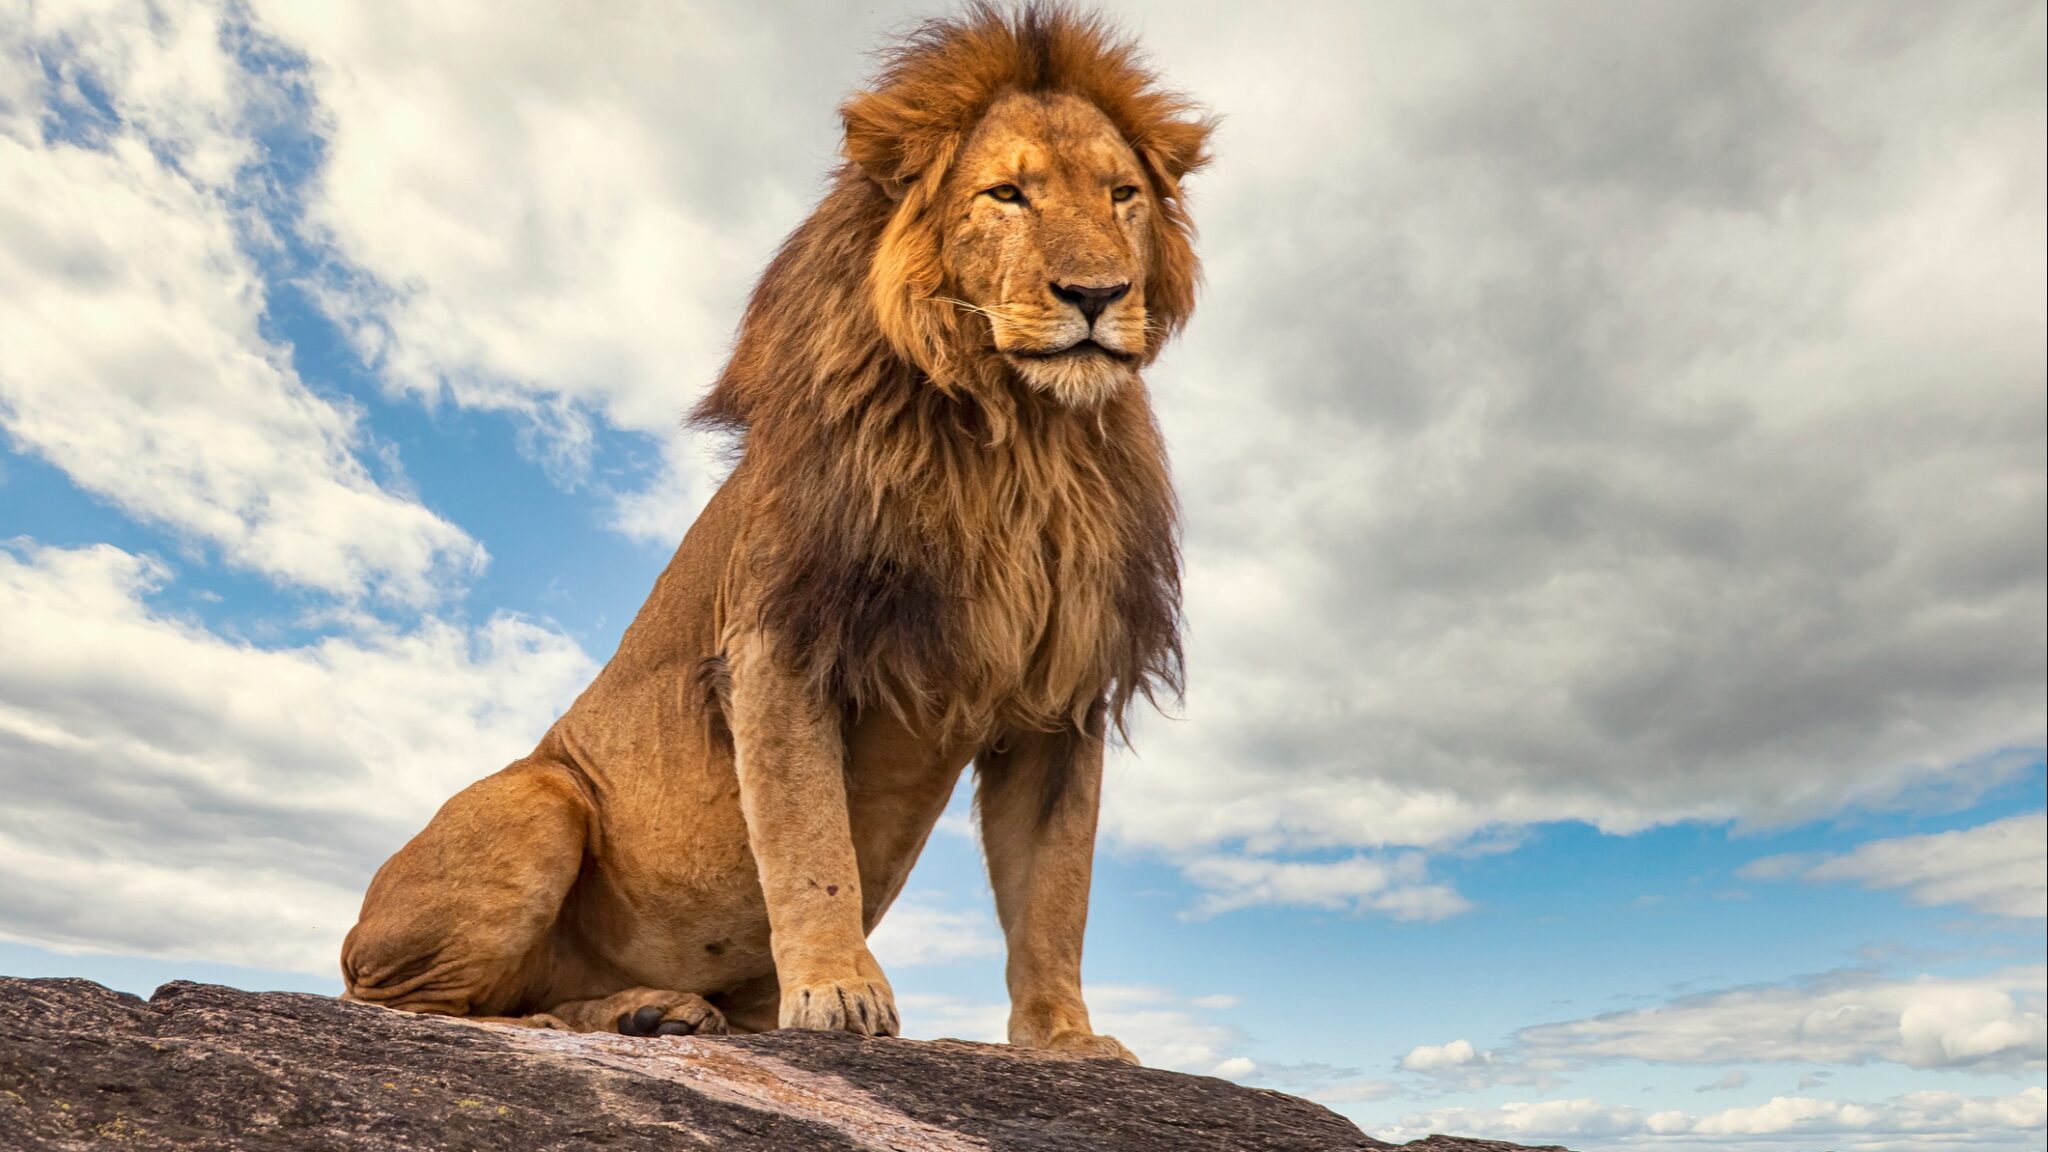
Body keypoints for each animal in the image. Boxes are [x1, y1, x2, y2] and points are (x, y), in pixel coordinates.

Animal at [340, 2, 1212, 1063]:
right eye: (1007, 194)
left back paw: (653, 1008)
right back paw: (609, 1015)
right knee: (416, 1005)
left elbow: (1055, 890)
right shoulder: (781, 642)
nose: (1097, 295)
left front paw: (1065, 1040)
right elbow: (809, 843)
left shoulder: (1061, 696)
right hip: (537, 805)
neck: (1021, 441)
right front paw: (840, 994)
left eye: (1122, 196)